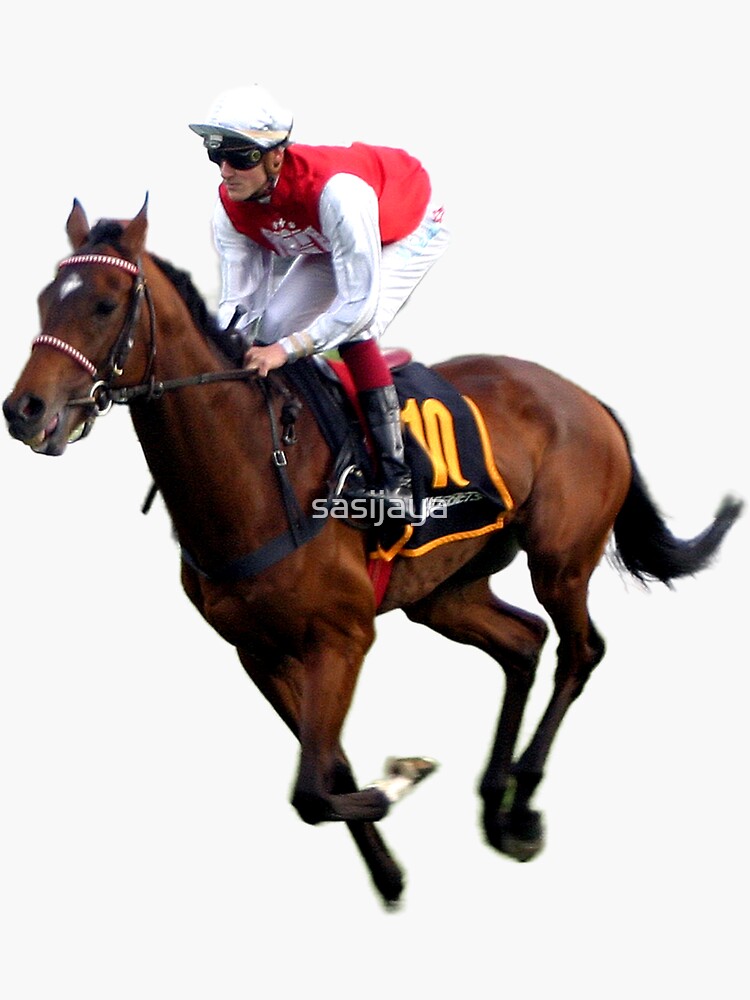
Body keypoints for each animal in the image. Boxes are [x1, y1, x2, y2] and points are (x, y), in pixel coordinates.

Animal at [3, 198, 742, 907]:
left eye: (103, 304)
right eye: (43, 298)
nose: (24, 410)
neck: (255, 467)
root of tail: (588, 399)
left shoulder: (342, 636)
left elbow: (312, 790)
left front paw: (404, 776)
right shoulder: (258, 651)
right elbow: (328, 770)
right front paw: (388, 873)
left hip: (560, 561)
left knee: (580, 651)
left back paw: (522, 804)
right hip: (445, 593)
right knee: (524, 644)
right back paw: (495, 803)